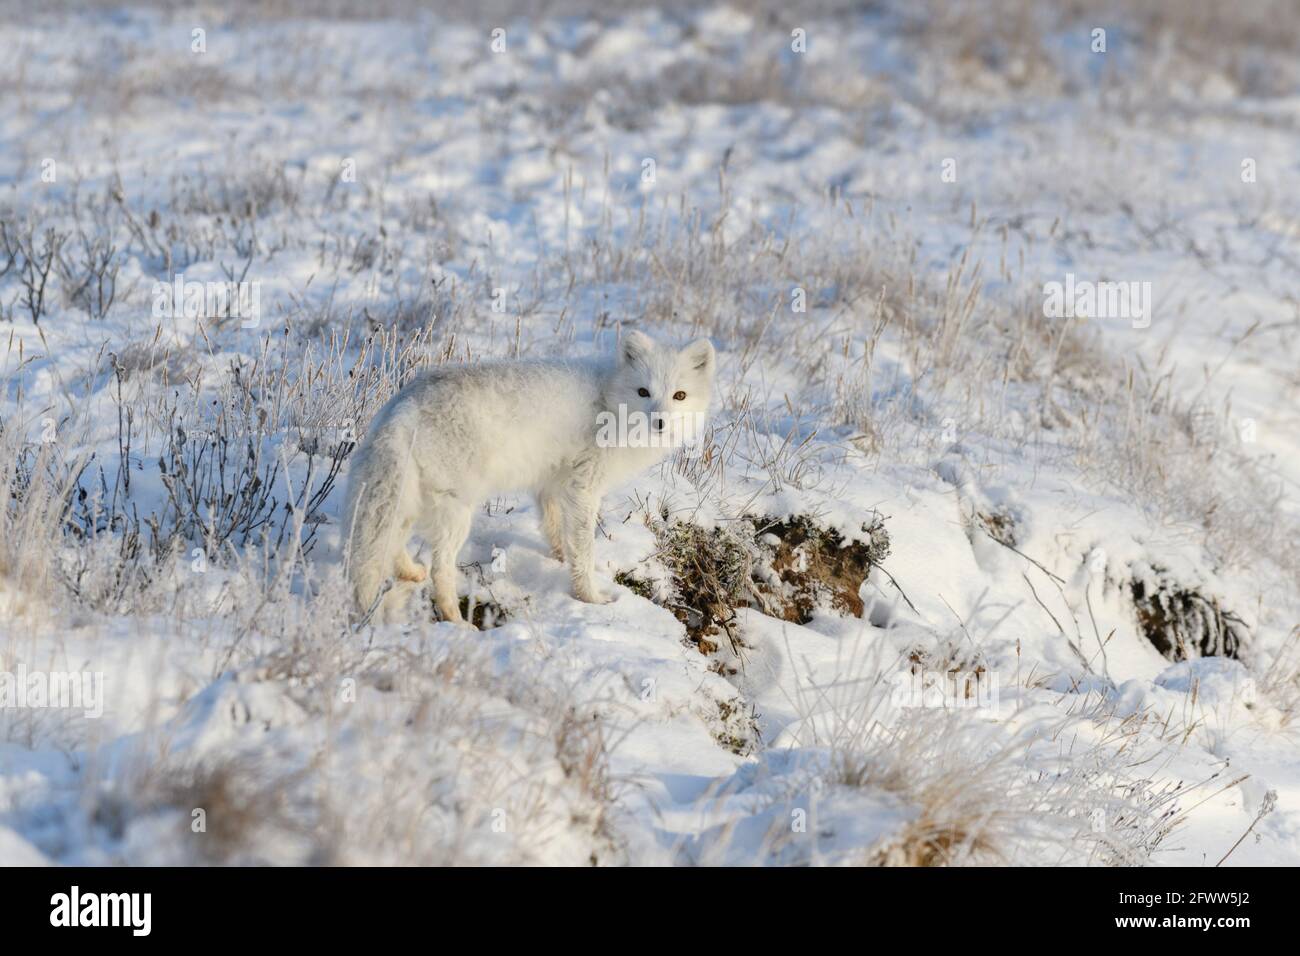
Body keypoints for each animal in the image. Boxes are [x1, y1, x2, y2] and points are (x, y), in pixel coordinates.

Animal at [342, 331, 716, 623]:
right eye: (643, 392)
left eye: (679, 395)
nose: (660, 423)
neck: (608, 400)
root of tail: (404, 407)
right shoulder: (583, 488)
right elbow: (583, 548)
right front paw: (590, 597)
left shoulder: (551, 486)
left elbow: (556, 532)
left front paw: (559, 561)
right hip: (457, 512)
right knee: (439, 569)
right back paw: (456, 623)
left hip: (407, 501)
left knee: (392, 545)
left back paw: (411, 573)